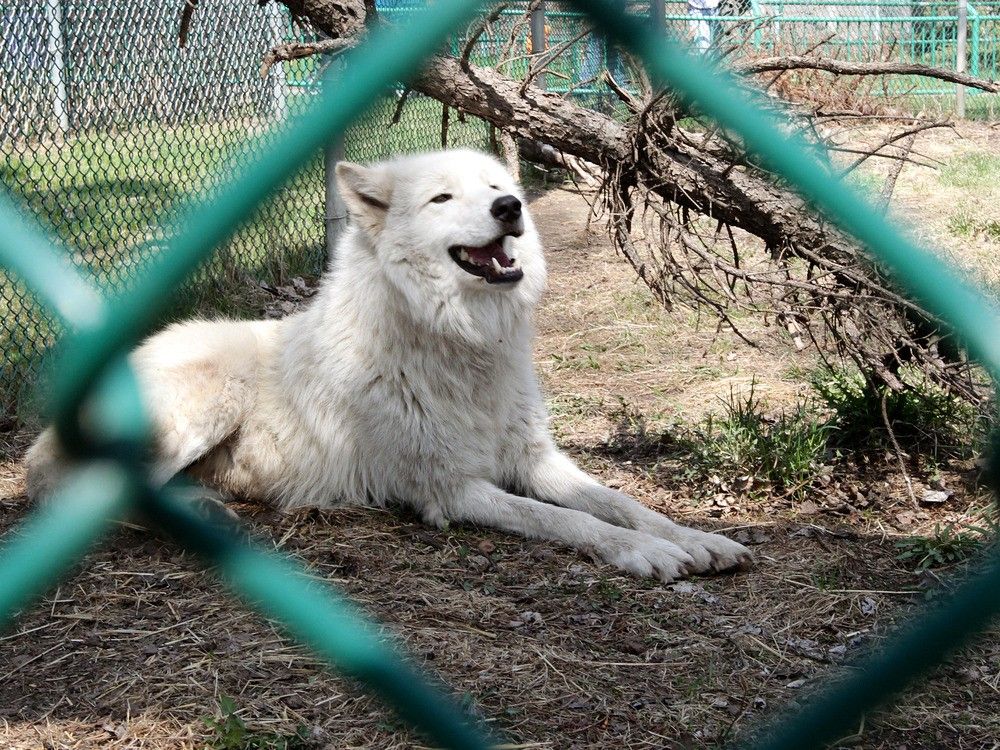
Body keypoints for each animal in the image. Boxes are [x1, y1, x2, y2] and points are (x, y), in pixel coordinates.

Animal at [26, 149, 751, 582]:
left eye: (497, 189)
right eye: (441, 200)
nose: (510, 208)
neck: (461, 345)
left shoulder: (536, 460)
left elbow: (617, 501)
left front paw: (692, 538)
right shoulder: (451, 490)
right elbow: (570, 521)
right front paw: (647, 553)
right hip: (206, 401)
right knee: (82, 494)